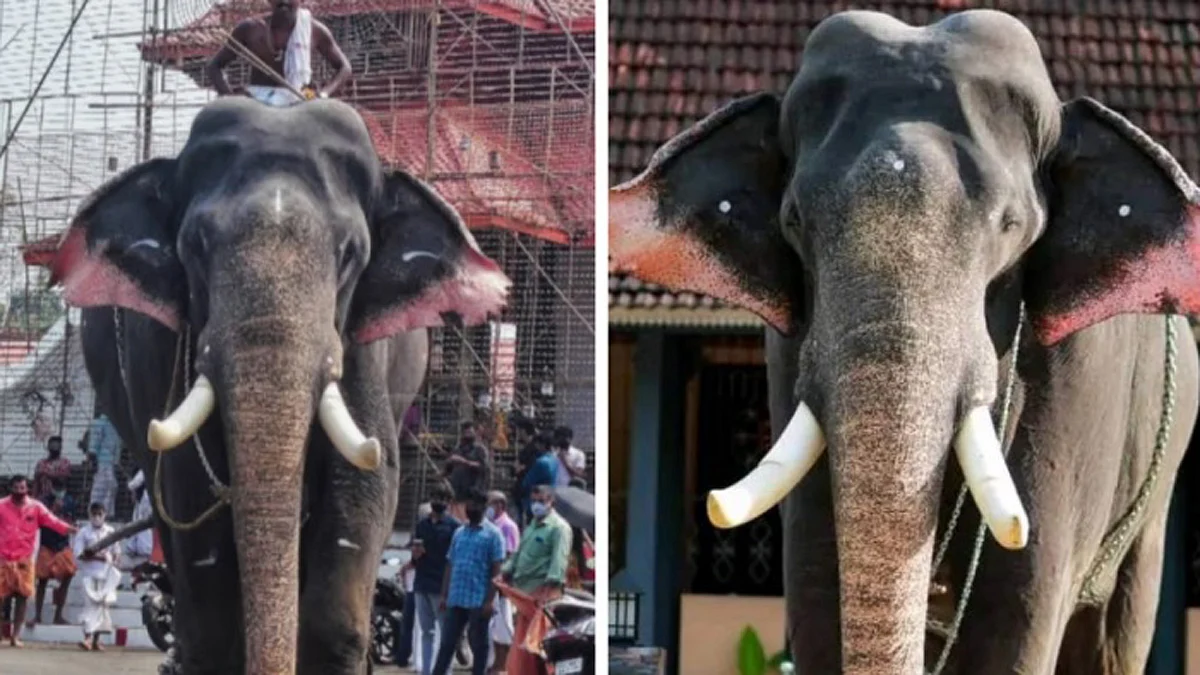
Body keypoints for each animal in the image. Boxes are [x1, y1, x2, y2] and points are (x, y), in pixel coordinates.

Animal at [609, 9, 1200, 675]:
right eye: (794, 221)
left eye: (1011, 226)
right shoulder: (789, 353)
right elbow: (814, 591)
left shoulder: (1078, 383)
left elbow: (1018, 608)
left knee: (1116, 629)